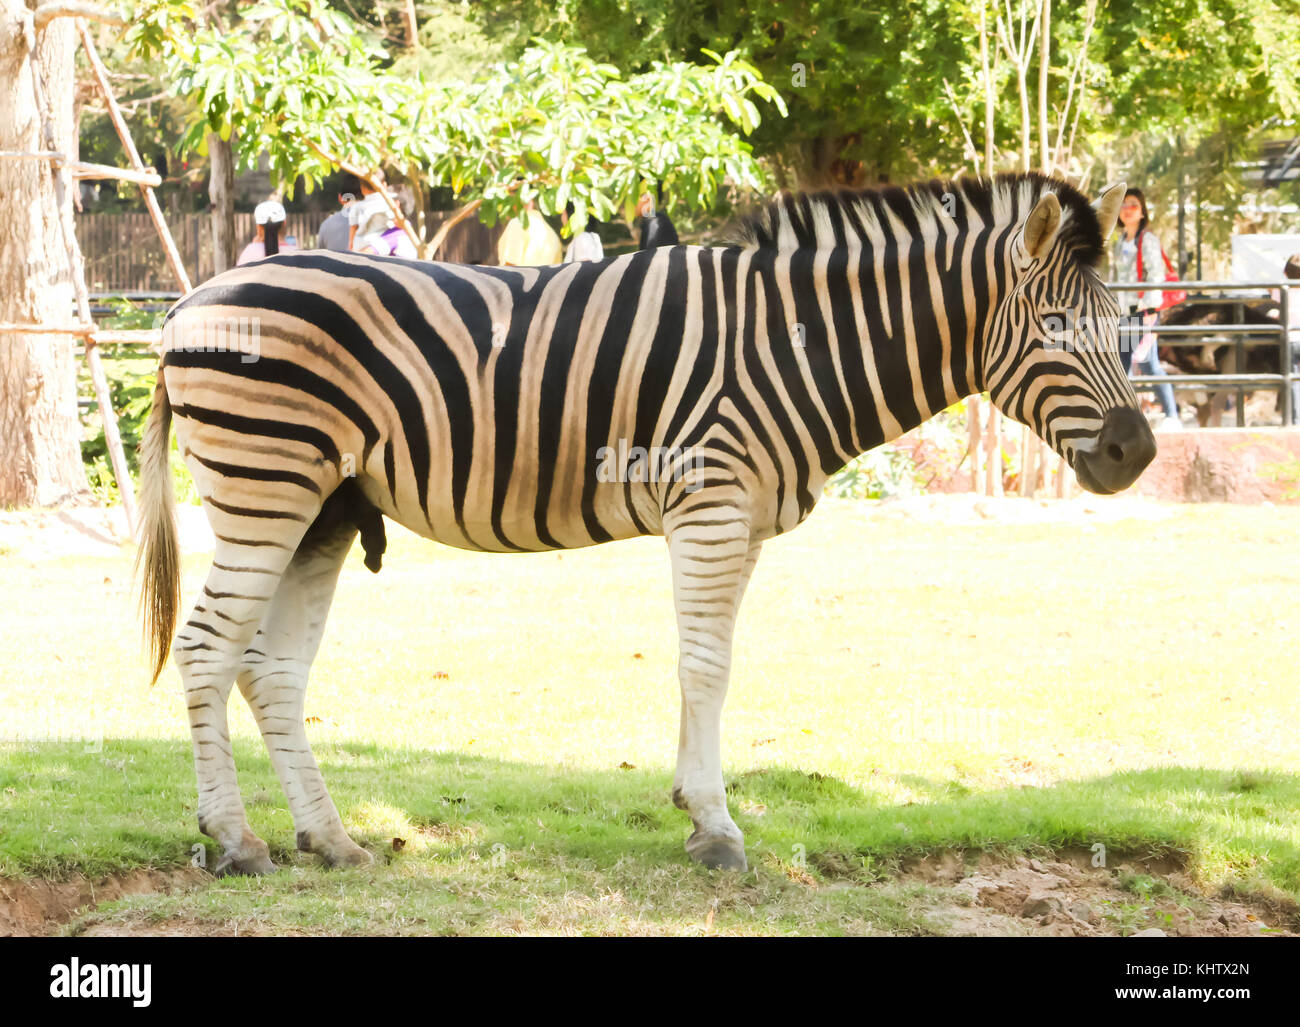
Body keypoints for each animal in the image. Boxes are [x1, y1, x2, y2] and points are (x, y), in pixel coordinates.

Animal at [136, 172, 1155, 875]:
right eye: (1056, 327)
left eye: (1119, 320)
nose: (1138, 451)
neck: (798, 345)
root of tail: (190, 301)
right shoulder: (710, 503)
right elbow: (705, 664)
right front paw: (715, 825)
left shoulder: (742, 518)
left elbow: (714, 660)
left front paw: (695, 808)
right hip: (267, 483)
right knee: (207, 645)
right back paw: (234, 840)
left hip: (323, 507)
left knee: (269, 668)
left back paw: (330, 838)